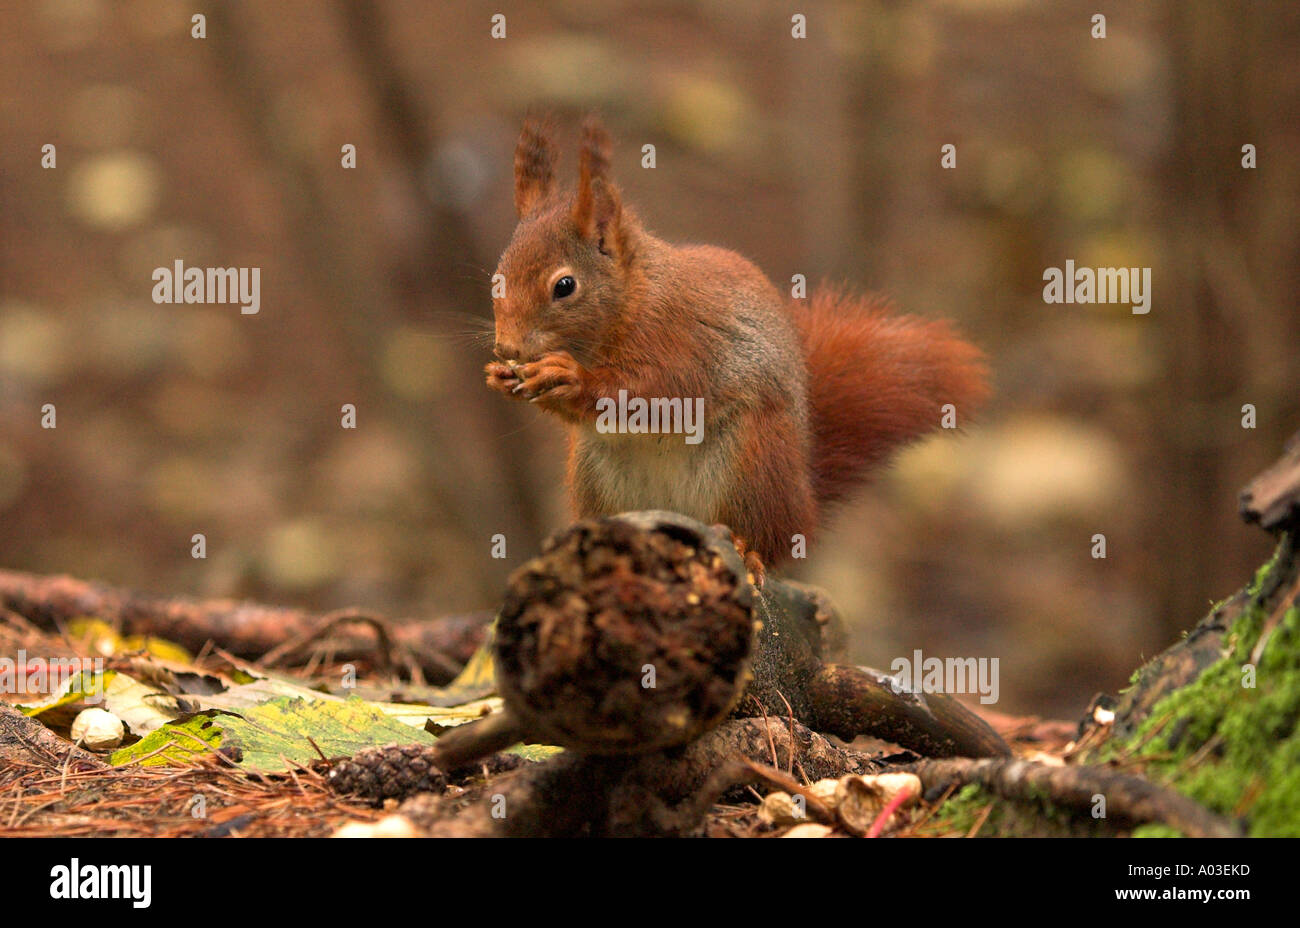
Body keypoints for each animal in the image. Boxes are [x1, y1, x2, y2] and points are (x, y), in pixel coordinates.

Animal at [486, 116, 989, 580]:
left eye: (564, 286)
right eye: (497, 275)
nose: (507, 346)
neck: (632, 301)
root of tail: (803, 504)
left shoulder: (683, 343)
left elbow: (651, 393)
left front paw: (567, 376)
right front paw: (502, 377)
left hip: (753, 462)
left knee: (764, 535)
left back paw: (747, 550)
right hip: (594, 475)